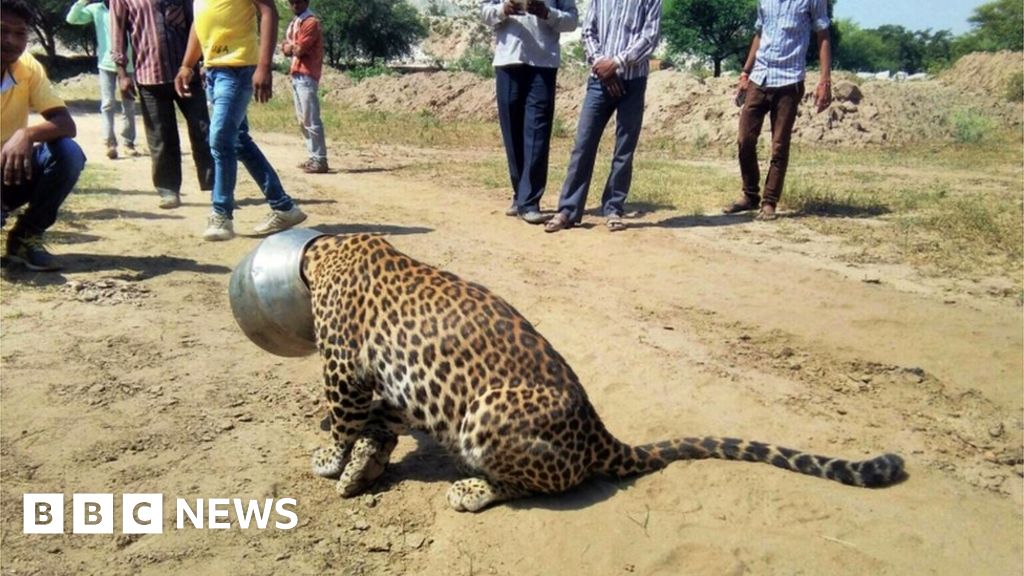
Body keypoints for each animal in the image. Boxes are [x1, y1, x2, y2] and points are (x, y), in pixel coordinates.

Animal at [301, 234, 904, 512]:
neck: (331, 248)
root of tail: (598, 433)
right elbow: (378, 422)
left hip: (488, 412)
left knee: (535, 484)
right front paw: (361, 465)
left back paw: (471, 489)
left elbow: (342, 419)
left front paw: (330, 460)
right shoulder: (387, 382)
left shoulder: (341, 366)